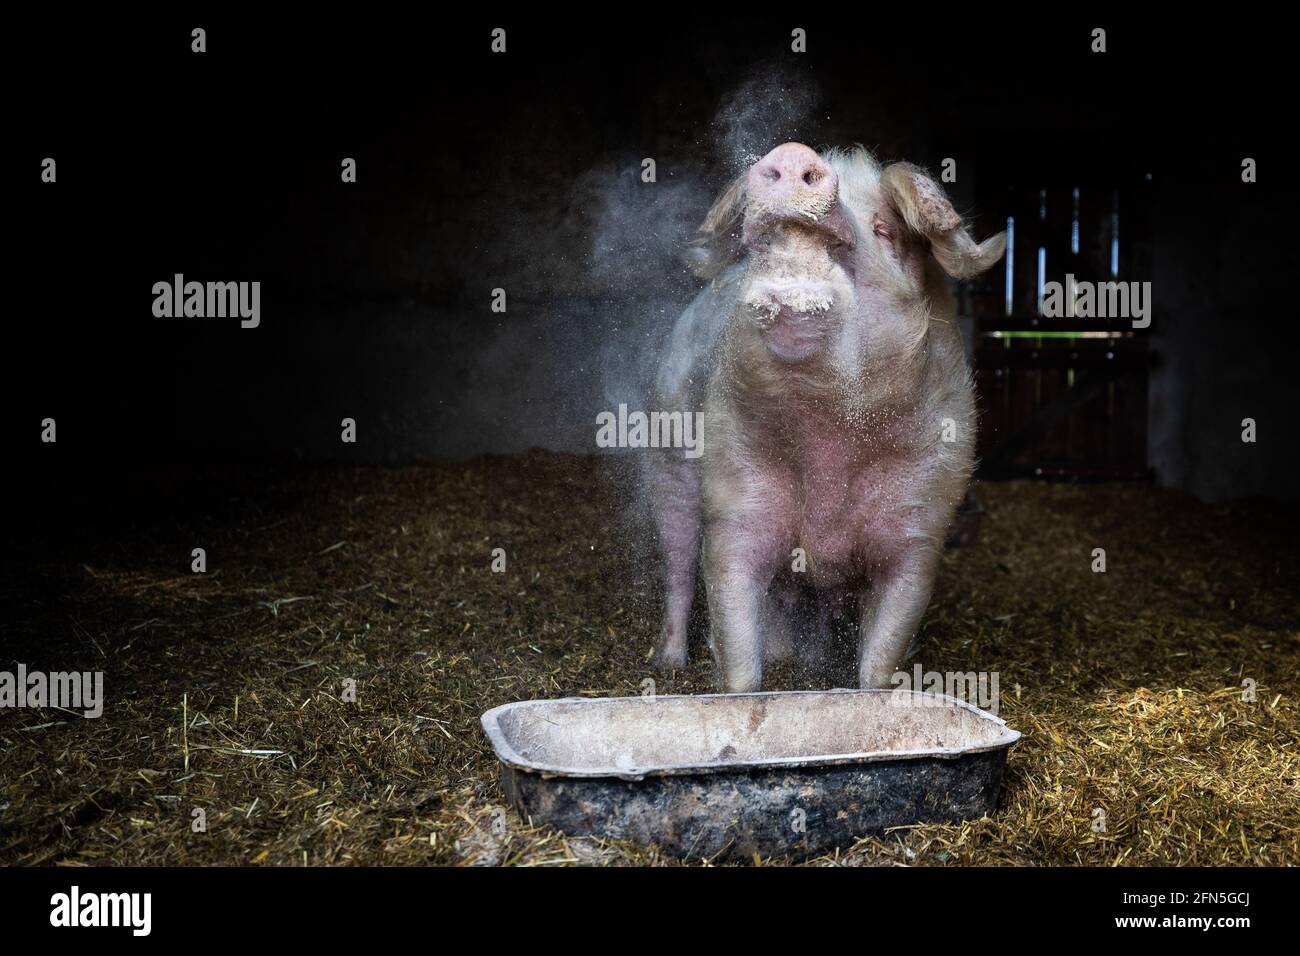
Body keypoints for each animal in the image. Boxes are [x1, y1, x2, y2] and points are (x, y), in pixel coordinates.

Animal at [647, 143, 1005, 692]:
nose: (794, 153)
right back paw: (667, 663)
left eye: (884, 230)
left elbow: (881, 658)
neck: (827, 443)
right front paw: (742, 691)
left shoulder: (920, 532)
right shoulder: (733, 505)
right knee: (679, 567)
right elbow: (736, 644)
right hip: (668, 462)